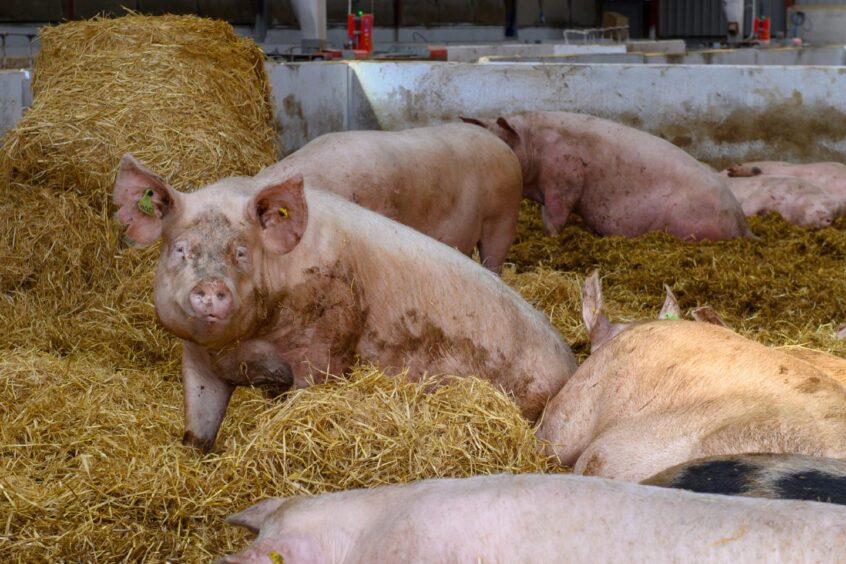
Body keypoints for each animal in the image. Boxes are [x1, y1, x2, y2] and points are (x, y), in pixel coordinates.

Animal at [112, 154, 577, 451]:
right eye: (180, 250)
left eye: (241, 252)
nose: (210, 286)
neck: (247, 347)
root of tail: (569, 362)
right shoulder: (197, 358)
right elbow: (198, 423)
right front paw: (194, 451)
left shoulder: (326, 344)